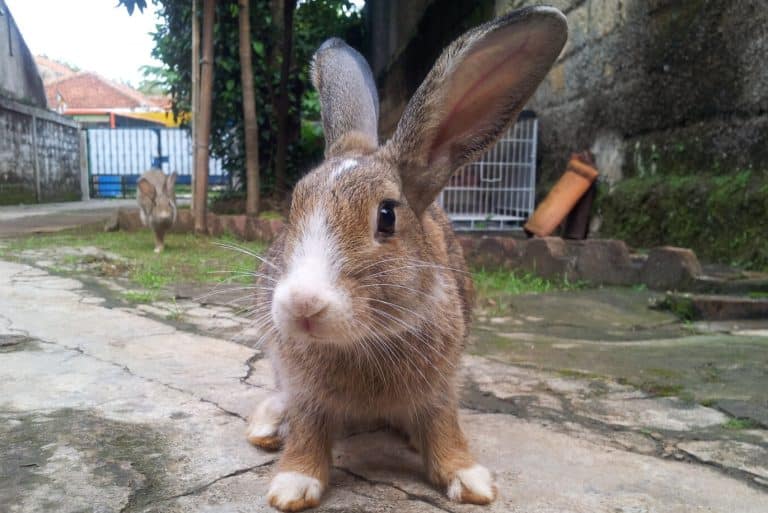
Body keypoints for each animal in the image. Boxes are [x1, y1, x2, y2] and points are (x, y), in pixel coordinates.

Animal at [245, 6, 567, 511]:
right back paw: (266, 429)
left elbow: (443, 428)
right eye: (294, 207)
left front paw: (471, 481)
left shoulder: (439, 389)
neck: (364, 341)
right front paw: (292, 486)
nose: (302, 306)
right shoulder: (308, 393)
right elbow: (309, 431)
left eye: (387, 216)